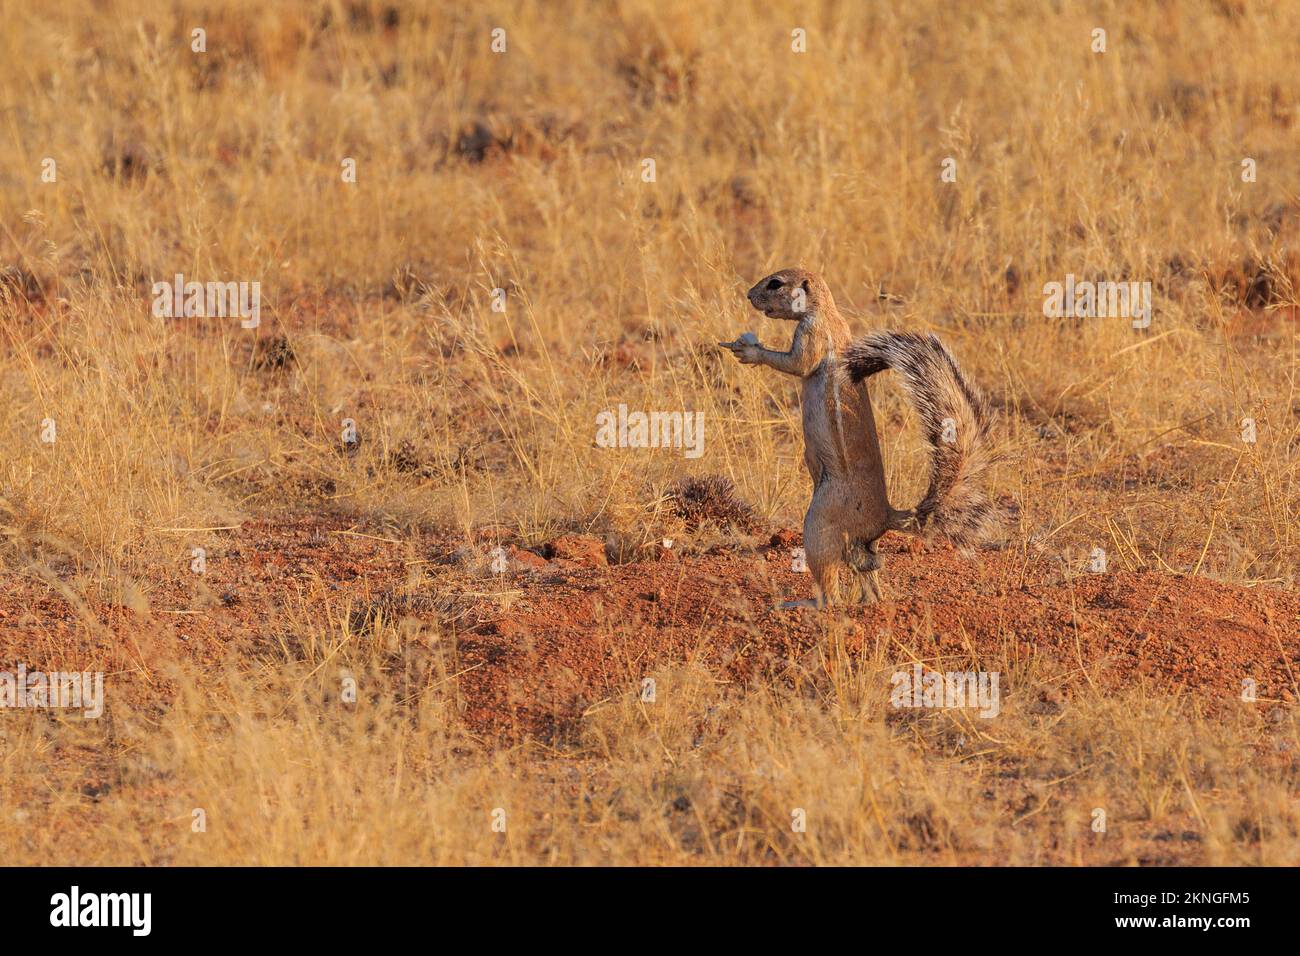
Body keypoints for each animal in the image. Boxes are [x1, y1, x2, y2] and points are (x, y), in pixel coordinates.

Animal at [719, 268, 1002, 608]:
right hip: (861, 545)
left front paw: (748, 350)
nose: (749, 295)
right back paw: (868, 601)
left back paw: (806, 603)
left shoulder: (812, 336)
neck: (826, 311)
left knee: (831, 590)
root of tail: (886, 516)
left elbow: (797, 364)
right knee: (868, 572)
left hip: (819, 523)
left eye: (776, 283)